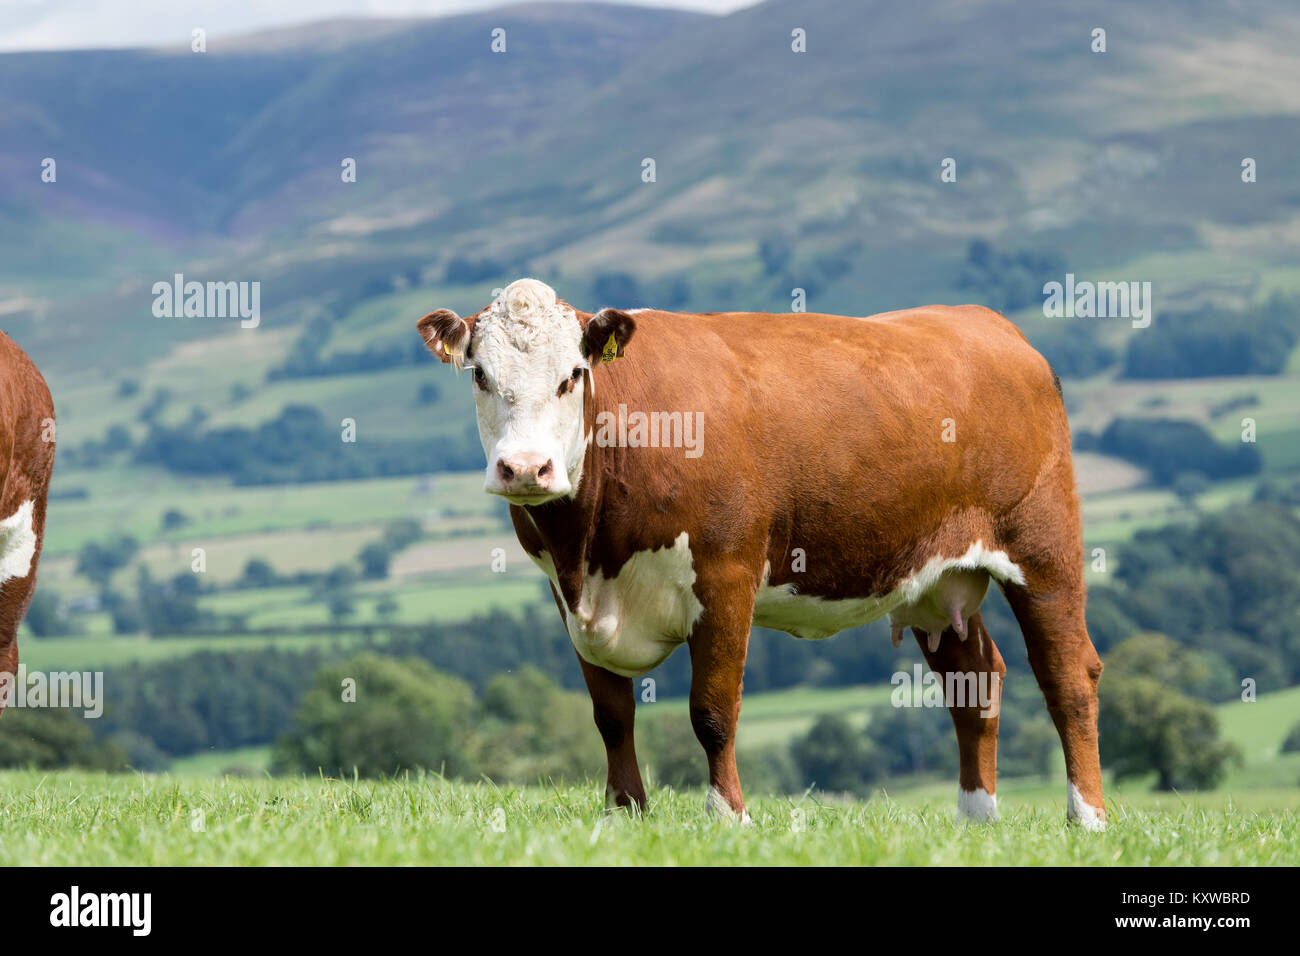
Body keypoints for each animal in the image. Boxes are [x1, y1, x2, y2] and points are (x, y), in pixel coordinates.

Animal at [417, 278, 1105, 830]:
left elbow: (712, 712)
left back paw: (1088, 817)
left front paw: (728, 816)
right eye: (480, 375)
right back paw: (976, 819)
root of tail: (988, 322)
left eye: (573, 376)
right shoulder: (573, 598)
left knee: (1068, 675)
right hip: (939, 579)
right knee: (976, 681)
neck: (591, 547)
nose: (525, 468)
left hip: (1044, 548)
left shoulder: (726, 577)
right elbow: (611, 716)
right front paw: (623, 815)